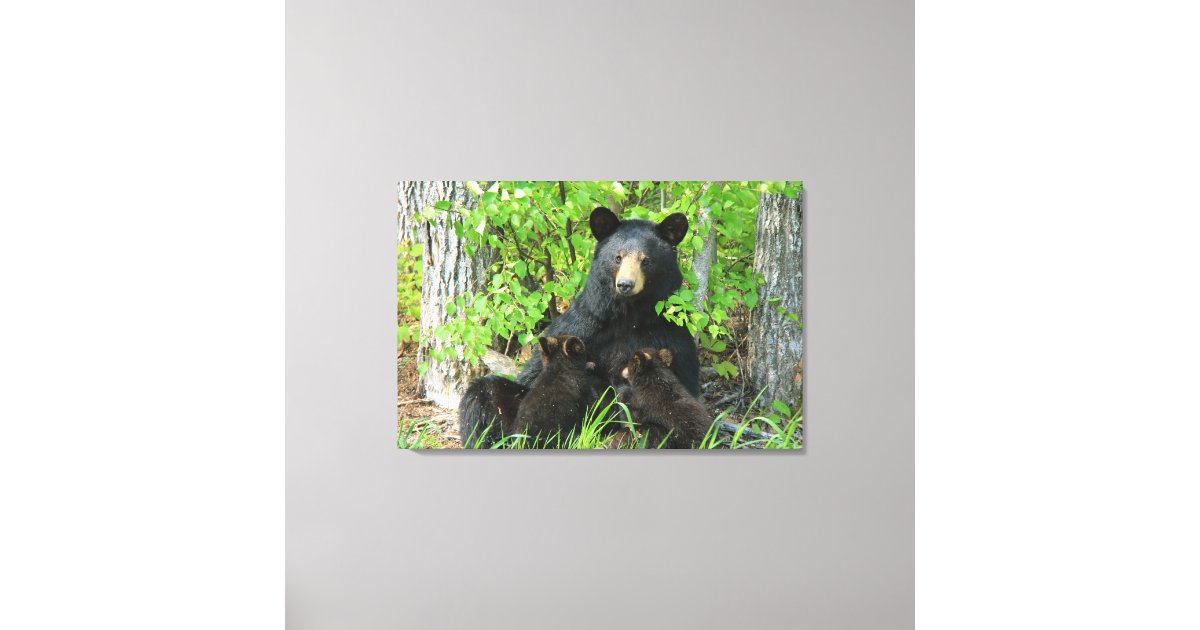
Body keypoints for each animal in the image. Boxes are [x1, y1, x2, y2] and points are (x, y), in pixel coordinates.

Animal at [458, 206, 699, 448]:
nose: (625, 285)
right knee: (482, 394)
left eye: (646, 261)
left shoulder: (669, 336)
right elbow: (534, 375)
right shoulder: (582, 324)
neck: (627, 314)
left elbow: (679, 392)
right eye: (618, 257)